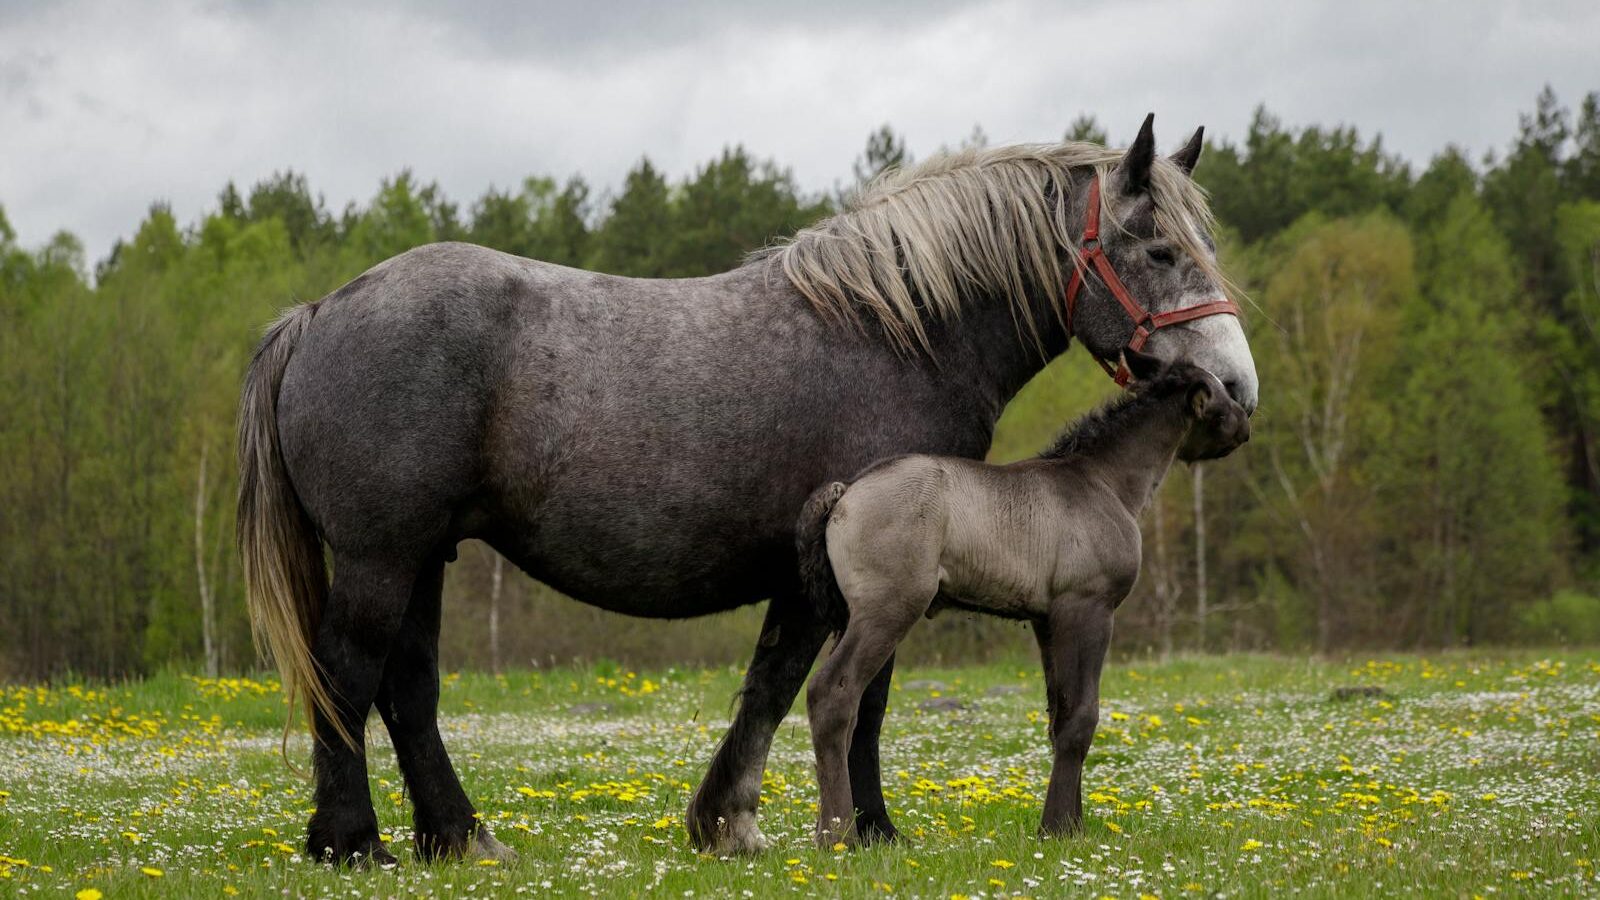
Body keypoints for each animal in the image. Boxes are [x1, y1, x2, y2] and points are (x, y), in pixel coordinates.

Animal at [795, 353, 1250, 847]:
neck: (1104, 482)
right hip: (886, 610)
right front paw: (1057, 827)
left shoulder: (1046, 621)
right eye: (1221, 392)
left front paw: (1072, 823)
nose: (1246, 423)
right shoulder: (1087, 608)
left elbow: (1059, 715)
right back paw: (837, 835)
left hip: (849, 617)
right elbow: (1081, 718)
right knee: (832, 694)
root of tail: (845, 493)